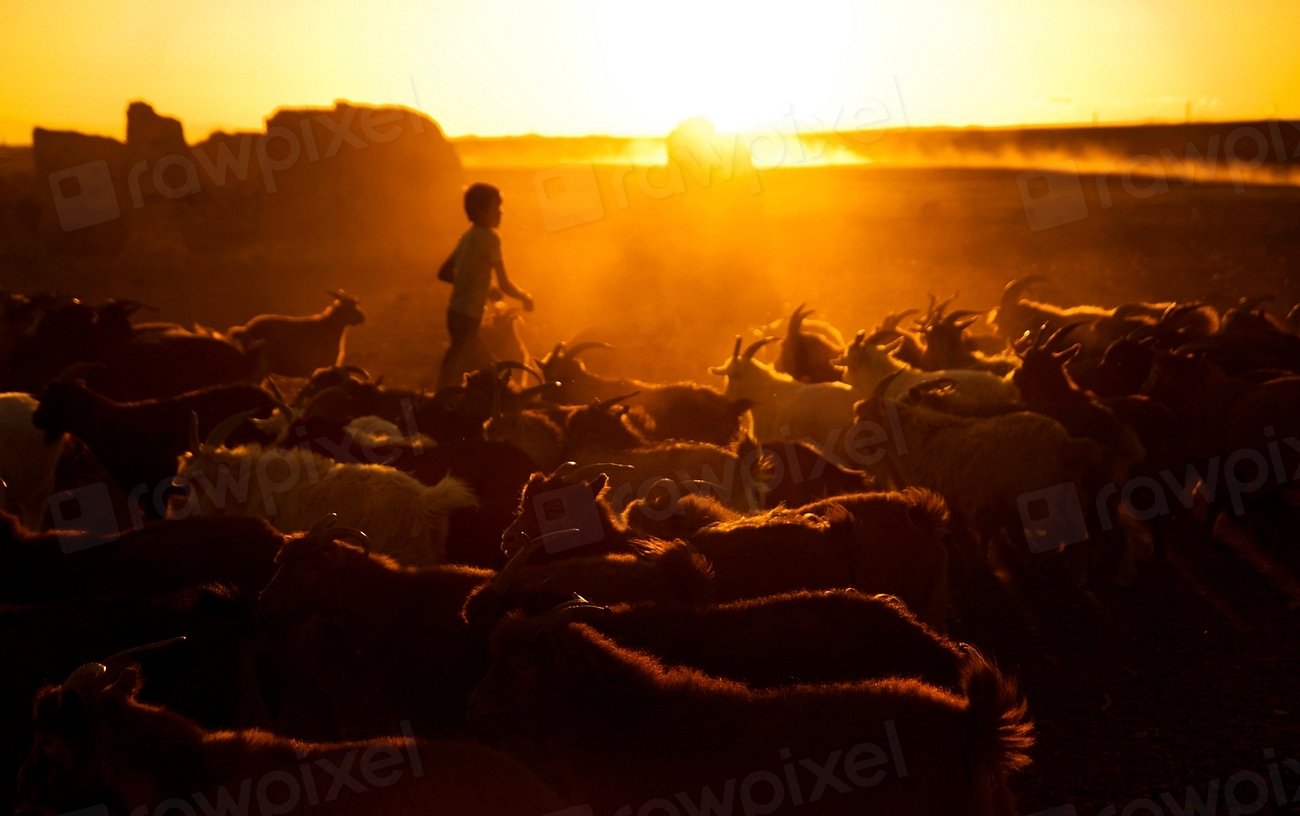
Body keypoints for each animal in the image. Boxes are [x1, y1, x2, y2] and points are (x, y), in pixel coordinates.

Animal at [228, 289, 366, 378]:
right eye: (349, 306)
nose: (362, 317)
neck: (328, 328)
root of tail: (245, 329)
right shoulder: (318, 367)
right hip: (259, 366)